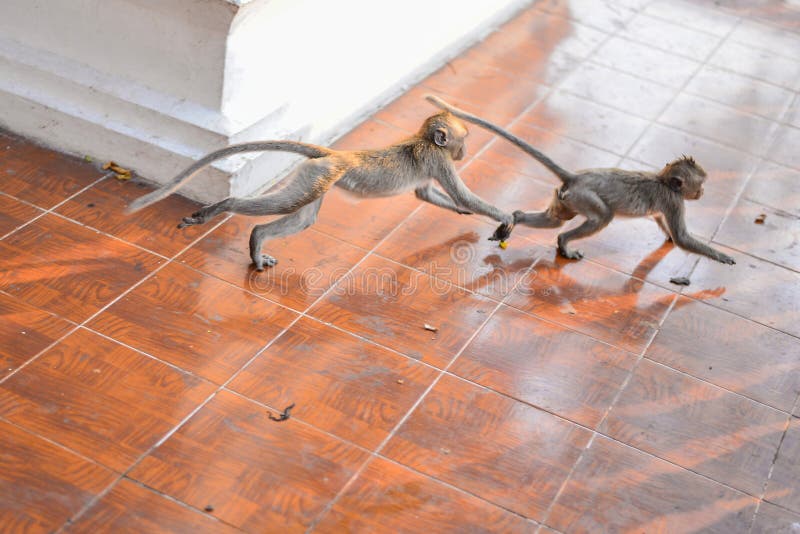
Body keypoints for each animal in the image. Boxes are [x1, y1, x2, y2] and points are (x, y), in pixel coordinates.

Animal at [126, 112, 513, 270]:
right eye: (462, 142)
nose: (464, 151)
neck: (423, 139)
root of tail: (335, 155)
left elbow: (425, 196)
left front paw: (462, 212)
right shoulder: (438, 160)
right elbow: (461, 194)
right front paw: (504, 215)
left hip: (317, 178)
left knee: (302, 217)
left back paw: (257, 240)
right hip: (320, 176)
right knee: (287, 203)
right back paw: (226, 207)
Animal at [425, 95, 736, 265]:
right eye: (701, 185)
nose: (702, 194)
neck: (663, 180)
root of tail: (575, 176)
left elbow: (664, 223)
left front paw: (668, 236)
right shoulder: (673, 201)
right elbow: (683, 237)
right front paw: (721, 256)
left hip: (565, 197)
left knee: (555, 219)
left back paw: (516, 219)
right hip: (584, 197)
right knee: (601, 217)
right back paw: (564, 242)